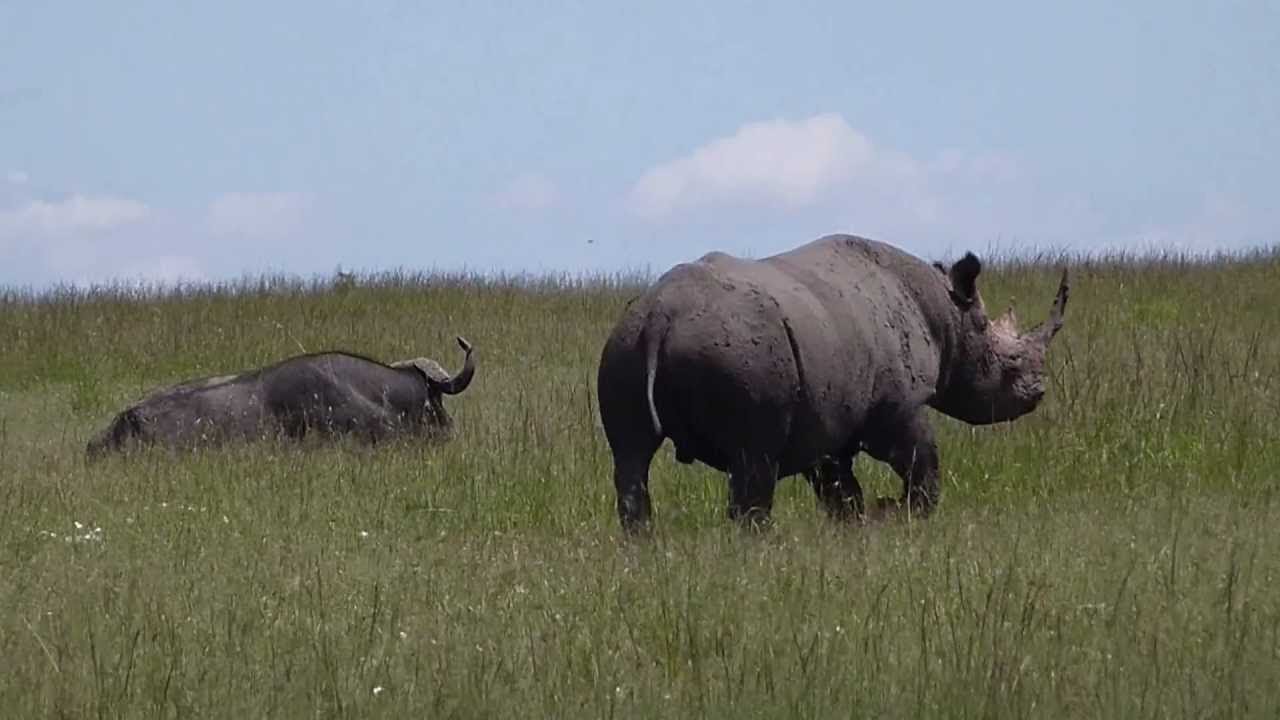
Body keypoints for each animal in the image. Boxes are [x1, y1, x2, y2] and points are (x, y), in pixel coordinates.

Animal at [597, 234, 1068, 531]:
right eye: (1007, 361)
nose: (1037, 393)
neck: (948, 316)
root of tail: (661, 316)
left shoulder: (826, 417)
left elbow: (839, 488)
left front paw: (860, 523)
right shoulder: (899, 406)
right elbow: (922, 464)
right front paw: (898, 514)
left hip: (623, 345)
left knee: (631, 457)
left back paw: (642, 543)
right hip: (737, 354)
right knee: (753, 459)